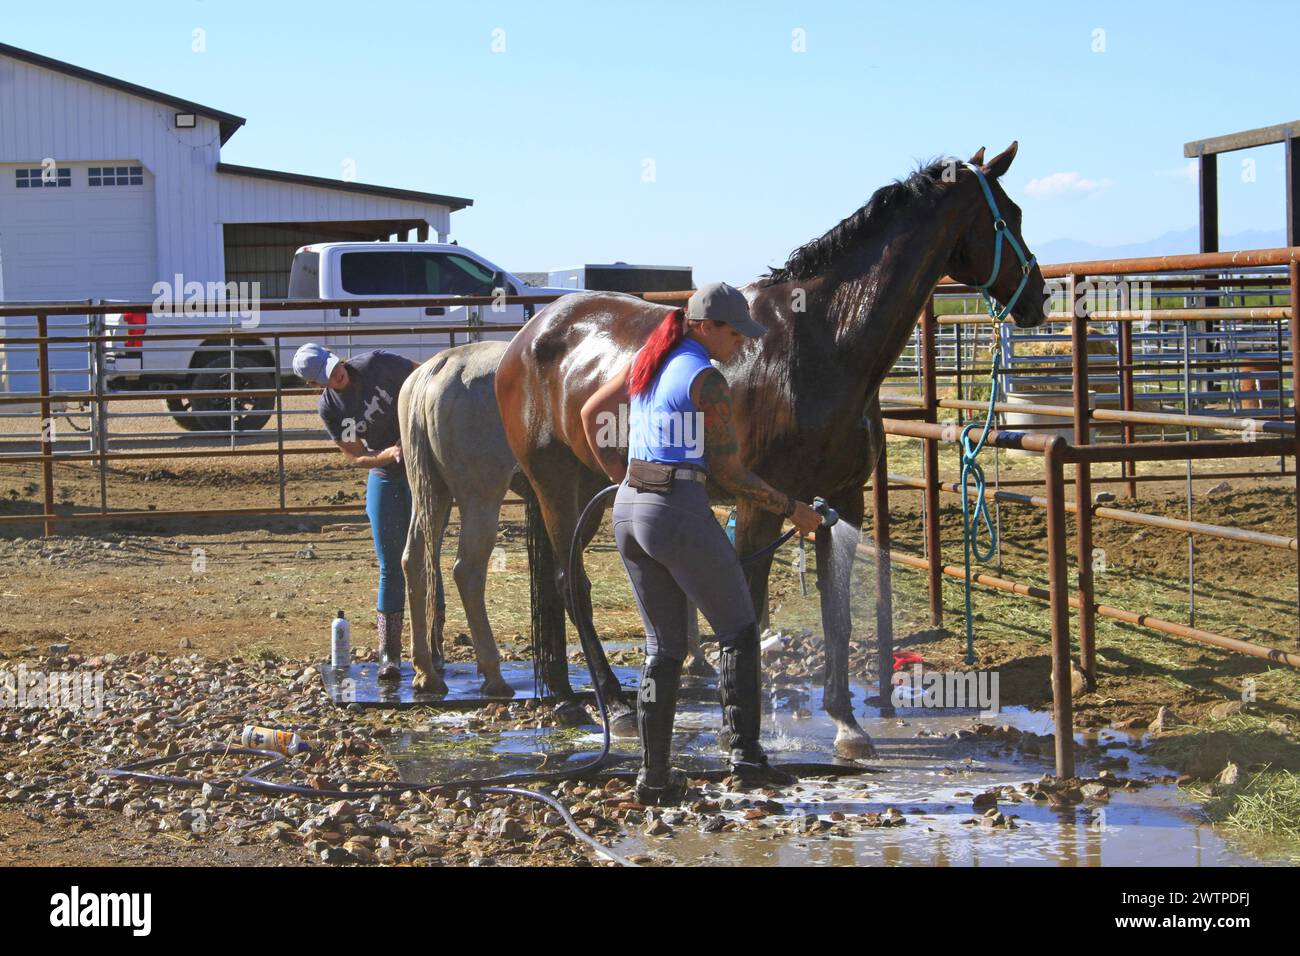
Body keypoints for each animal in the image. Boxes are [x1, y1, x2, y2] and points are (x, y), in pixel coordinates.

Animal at [397, 340, 713, 697]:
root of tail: (441, 364)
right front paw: (695, 657)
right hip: (481, 496)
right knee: (468, 570)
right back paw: (494, 675)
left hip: (433, 492)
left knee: (415, 561)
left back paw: (426, 672)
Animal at [494, 144, 1049, 754]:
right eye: (1011, 215)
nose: (1039, 298)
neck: (818, 345)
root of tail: (531, 333)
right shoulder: (757, 504)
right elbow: (749, 614)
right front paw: (740, 727)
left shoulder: (840, 503)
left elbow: (836, 615)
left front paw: (845, 723)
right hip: (555, 486)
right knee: (572, 585)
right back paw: (610, 703)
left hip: (593, 485)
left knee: (563, 588)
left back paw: (574, 695)